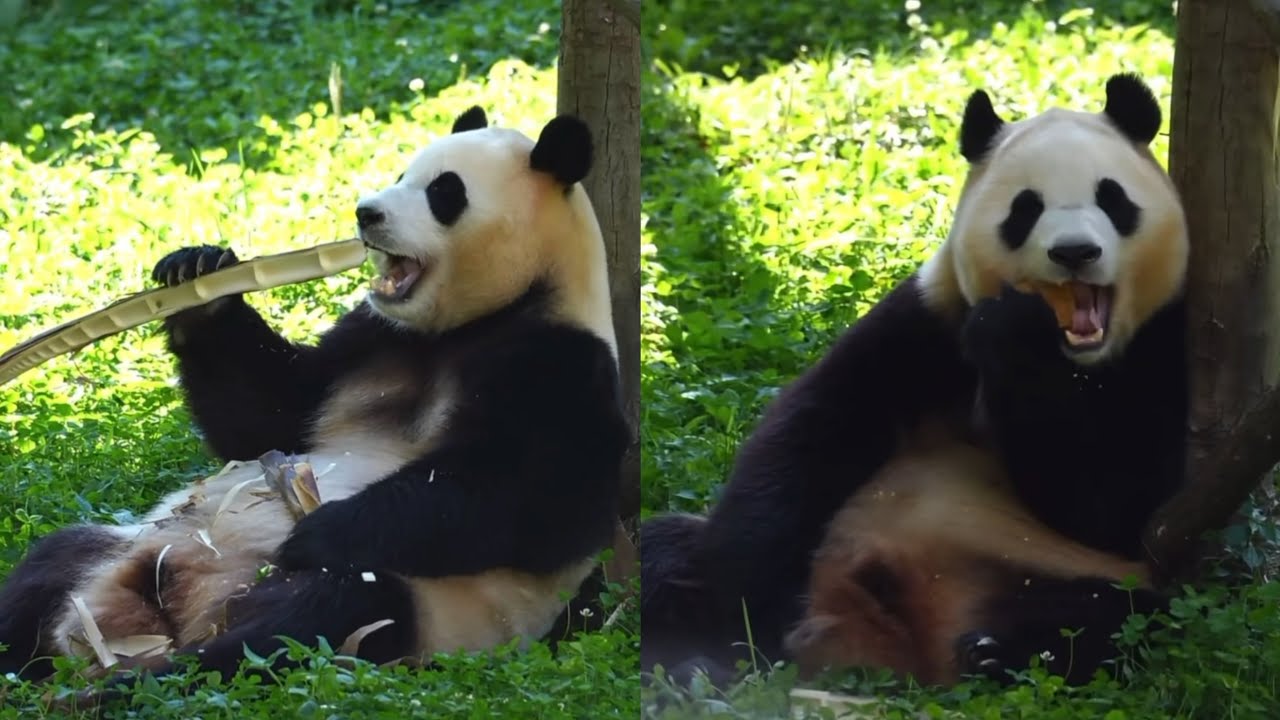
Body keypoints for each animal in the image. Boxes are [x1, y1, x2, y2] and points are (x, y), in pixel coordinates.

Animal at [0, 106, 629, 688]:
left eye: (443, 193)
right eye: (402, 172)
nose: (367, 212)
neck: (470, 323)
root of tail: (173, 621)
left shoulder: (561, 364)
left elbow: (526, 499)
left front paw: (315, 530)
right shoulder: (371, 338)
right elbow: (269, 416)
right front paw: (198, 275)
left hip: (417, 610)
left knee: (312, 619)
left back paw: (139, 684)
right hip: (134, 549)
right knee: (51, 563)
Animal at [640, 72, 1188, 688]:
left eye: (1112, 199)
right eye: (1025, 209)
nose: (1074, 252)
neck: (1076, 358)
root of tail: (878, 639)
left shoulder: (1164, 339)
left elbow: (1115, 506)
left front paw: (1012, 336)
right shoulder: (927, 319)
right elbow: (807, 439)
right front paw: (741, 614)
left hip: (1054, 574)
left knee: (1117, 622)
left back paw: (995, 651)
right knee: (659, 549)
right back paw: (693, 660)